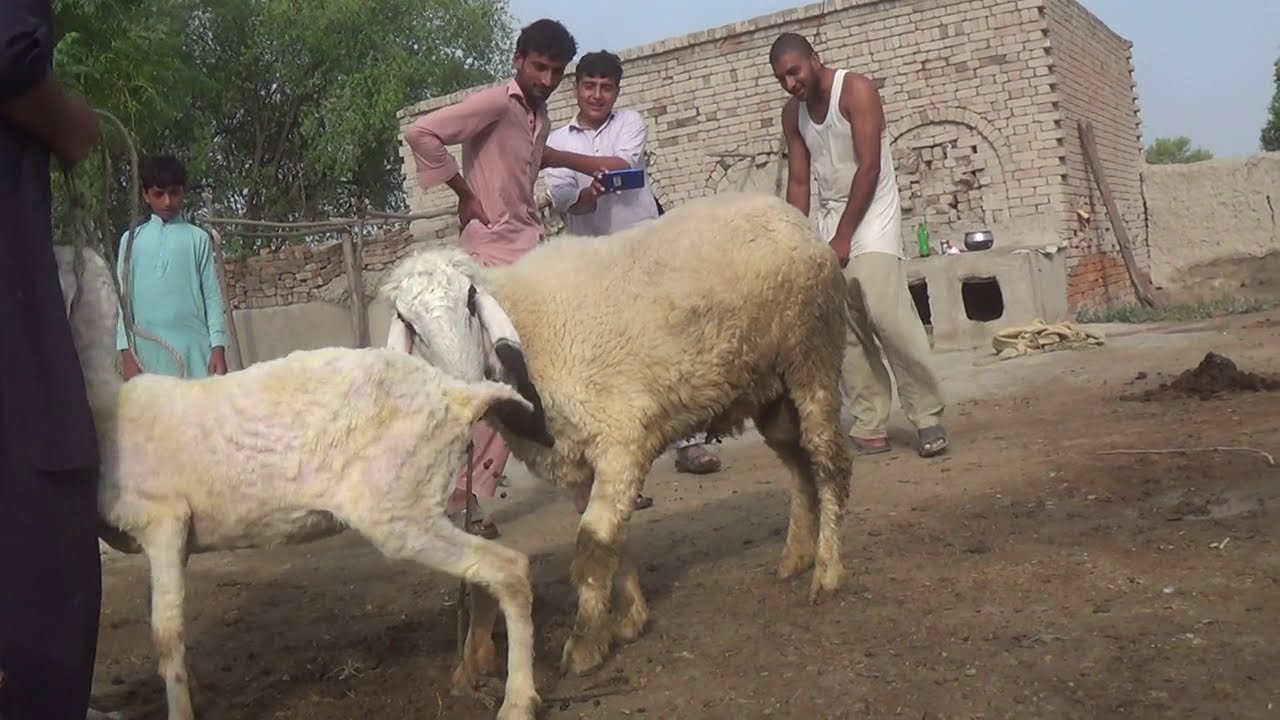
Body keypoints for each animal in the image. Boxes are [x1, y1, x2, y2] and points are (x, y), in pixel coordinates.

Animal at [54, 243, 550, 720]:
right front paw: (198, 695)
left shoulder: (164, 522)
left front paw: (181, 710)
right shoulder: (171, 541)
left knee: (508, 568)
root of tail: (459, 393)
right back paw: (477, 667)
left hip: (397, 507)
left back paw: (518, 702)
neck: (104, 404)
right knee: (488, 569)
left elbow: (165, 636)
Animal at [380, 190, 854, 677]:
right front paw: (629, 621)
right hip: (770, 389)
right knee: (797, 466)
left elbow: (593, 542)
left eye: (472, 298)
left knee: (828, 461)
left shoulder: (621, 438)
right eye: (407, 321)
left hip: (813, 352)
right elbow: (613, 541)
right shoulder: (587, 455)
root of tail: (788, 213)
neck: (529, 329)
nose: (467, 389)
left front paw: (585, 645)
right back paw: (796, 556)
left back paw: (826, 572)